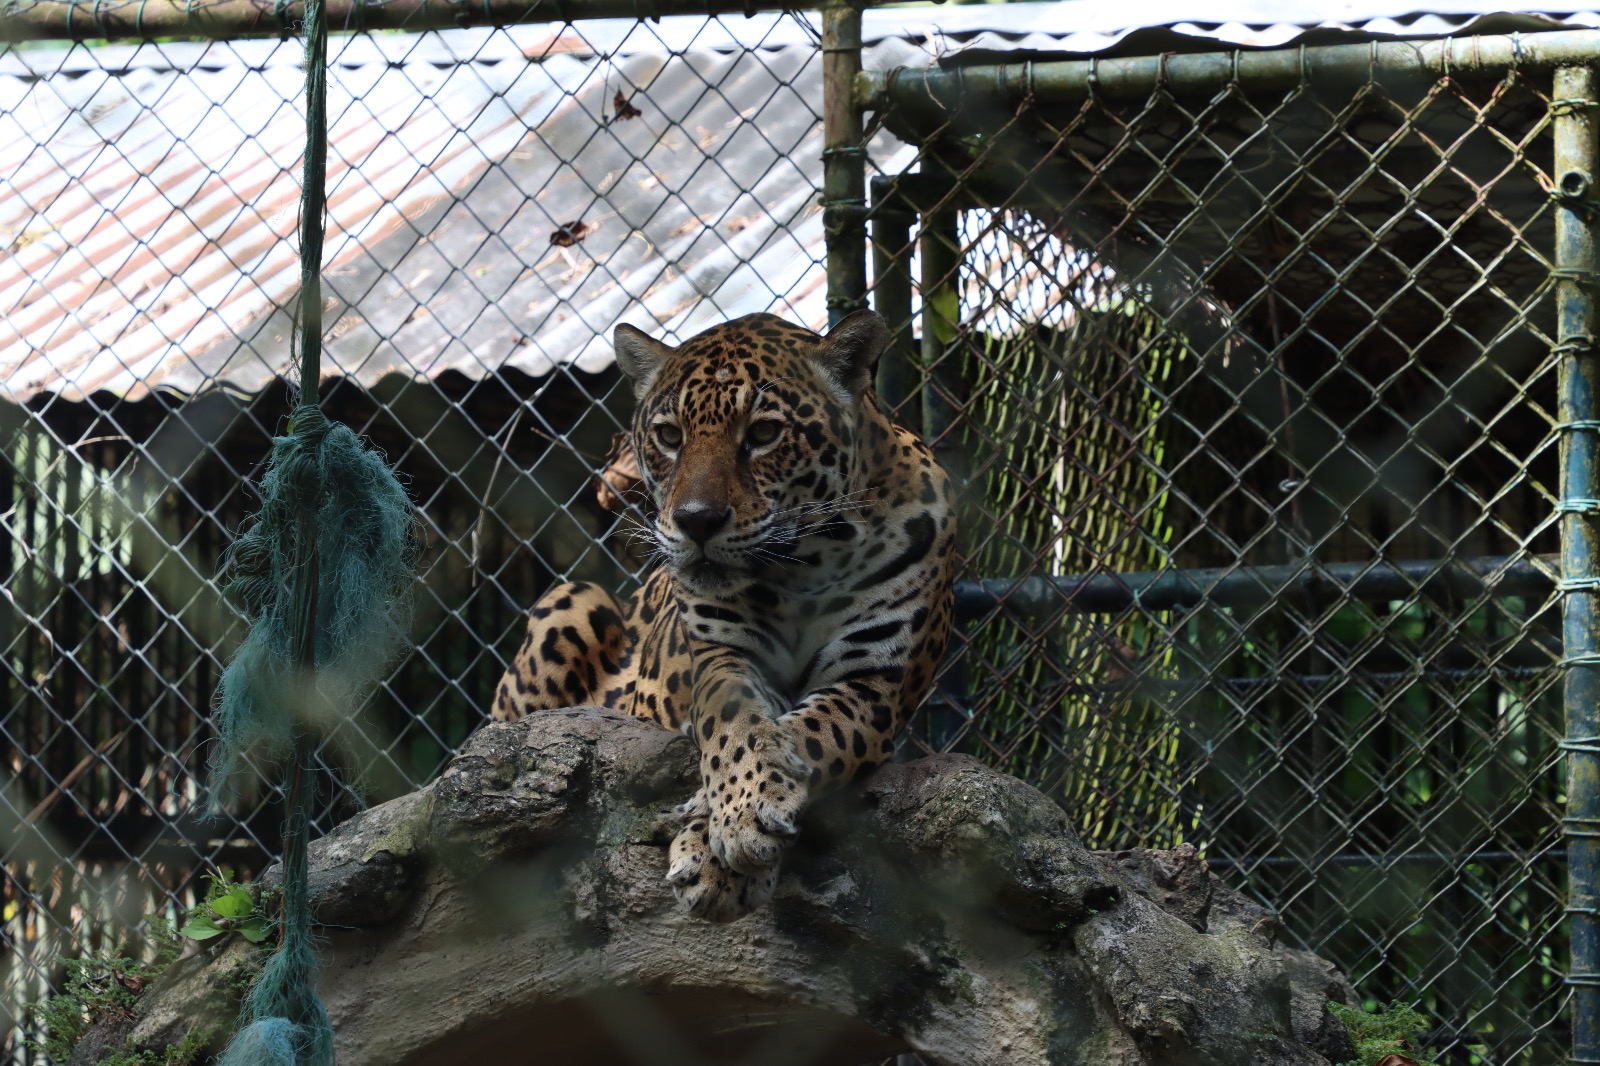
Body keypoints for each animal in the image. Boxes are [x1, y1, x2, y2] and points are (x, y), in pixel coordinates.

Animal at [490, 309, 957, 921]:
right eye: (670, 436)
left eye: (763, 434)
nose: (696, 521)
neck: (807, 567)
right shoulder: (722, 657)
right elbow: (734, 726)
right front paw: (725, 828)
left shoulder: (875, 680)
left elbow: (808, 732)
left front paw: (725, 833)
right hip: (573, 600)